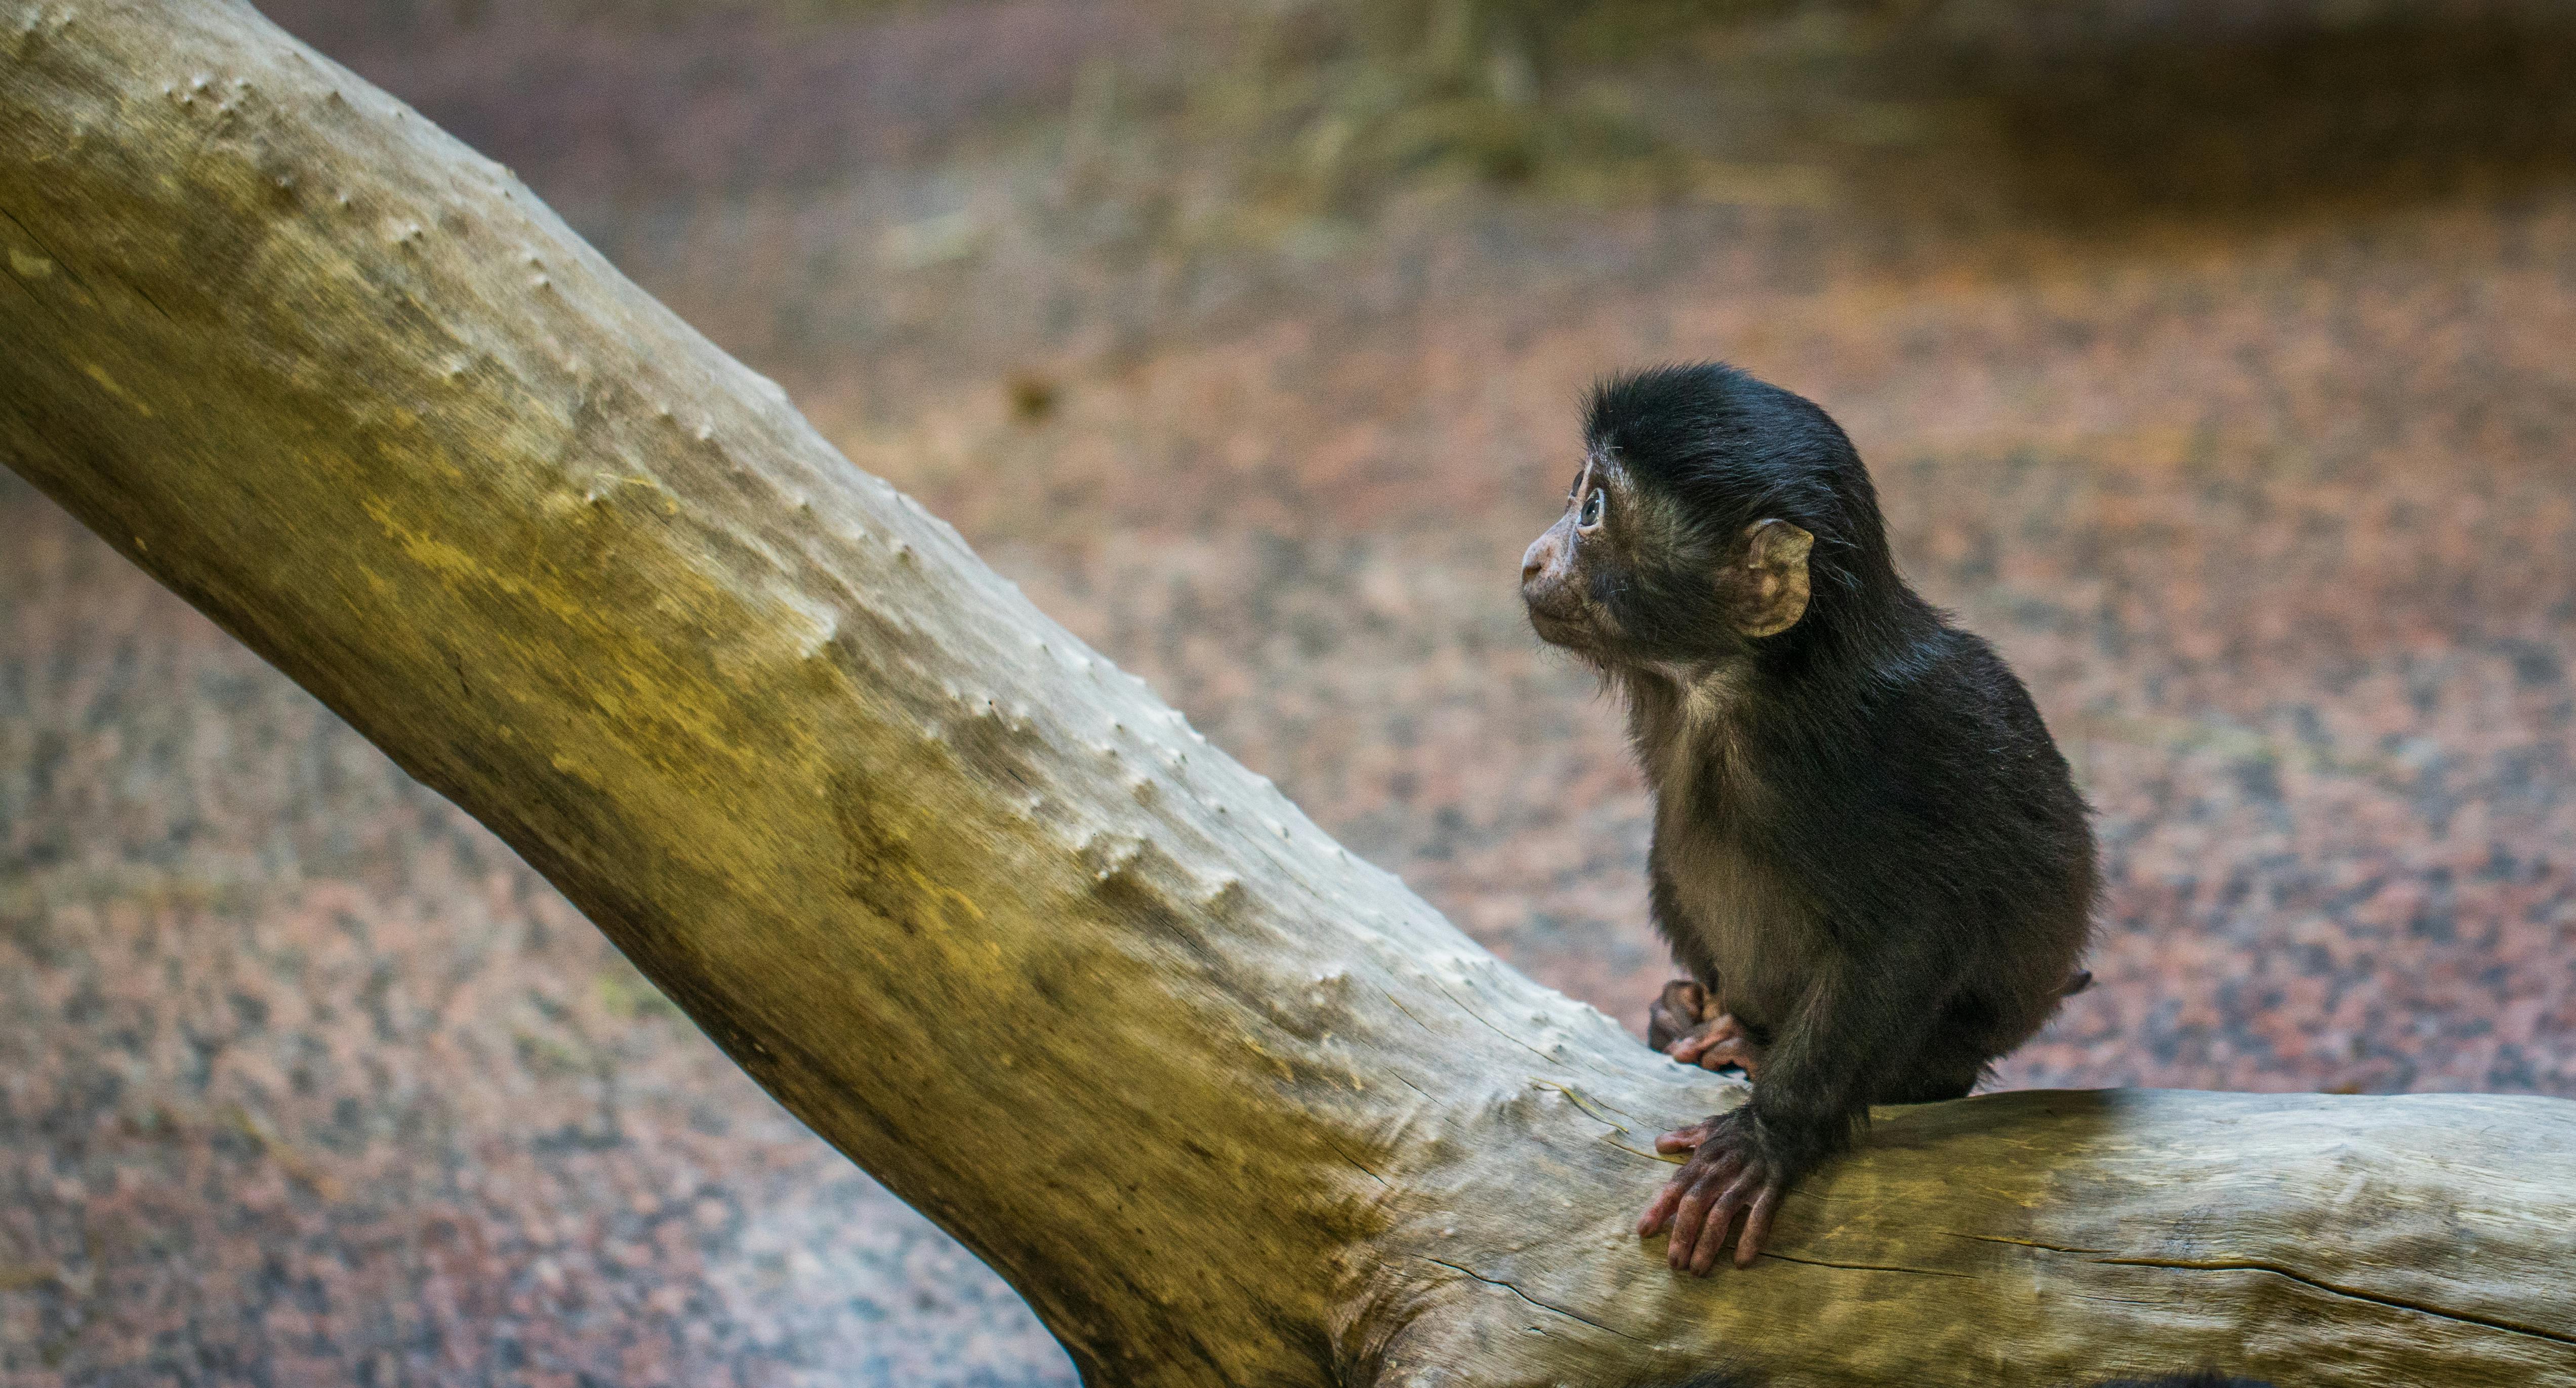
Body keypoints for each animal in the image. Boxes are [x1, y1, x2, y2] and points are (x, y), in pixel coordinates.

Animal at [1519, 363, 2096, 1275]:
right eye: (1576, 491)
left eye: (1593, 510)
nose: (1532, 557)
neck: (1734, 684)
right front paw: (1680, 1022)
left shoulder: (1848, 754)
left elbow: (1914, 930)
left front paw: (1768, 1135)